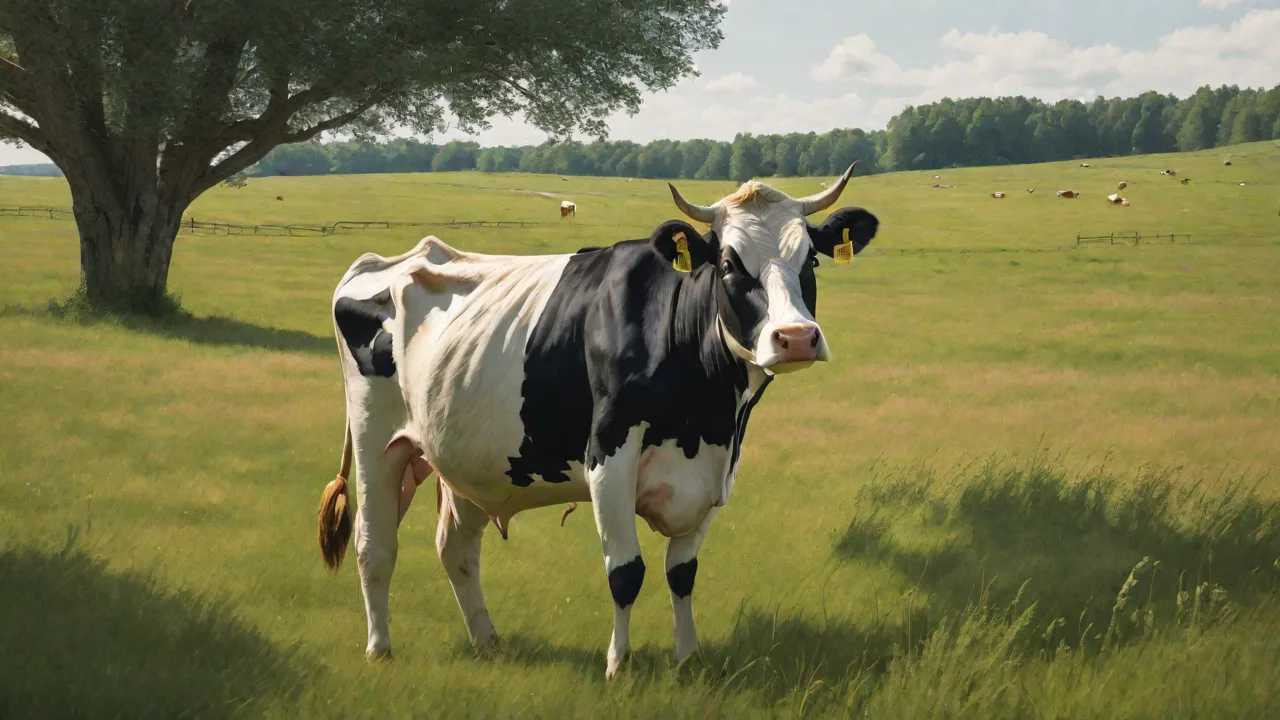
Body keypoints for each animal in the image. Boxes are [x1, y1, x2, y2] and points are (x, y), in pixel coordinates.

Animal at [317, 164, 879, 678]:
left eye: (811, 259)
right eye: (727, 263)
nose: (796, 338)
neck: (705, 416)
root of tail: (384, 261)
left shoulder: (719, 469)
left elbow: (682, 572)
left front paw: (688, 657)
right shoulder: (608, 454)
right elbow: (626, 572)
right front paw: (618, 665)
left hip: (462, 457)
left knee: (455, 547)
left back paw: (487, 642)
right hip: (376, 438)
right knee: (374, 544)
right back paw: (380, 648)